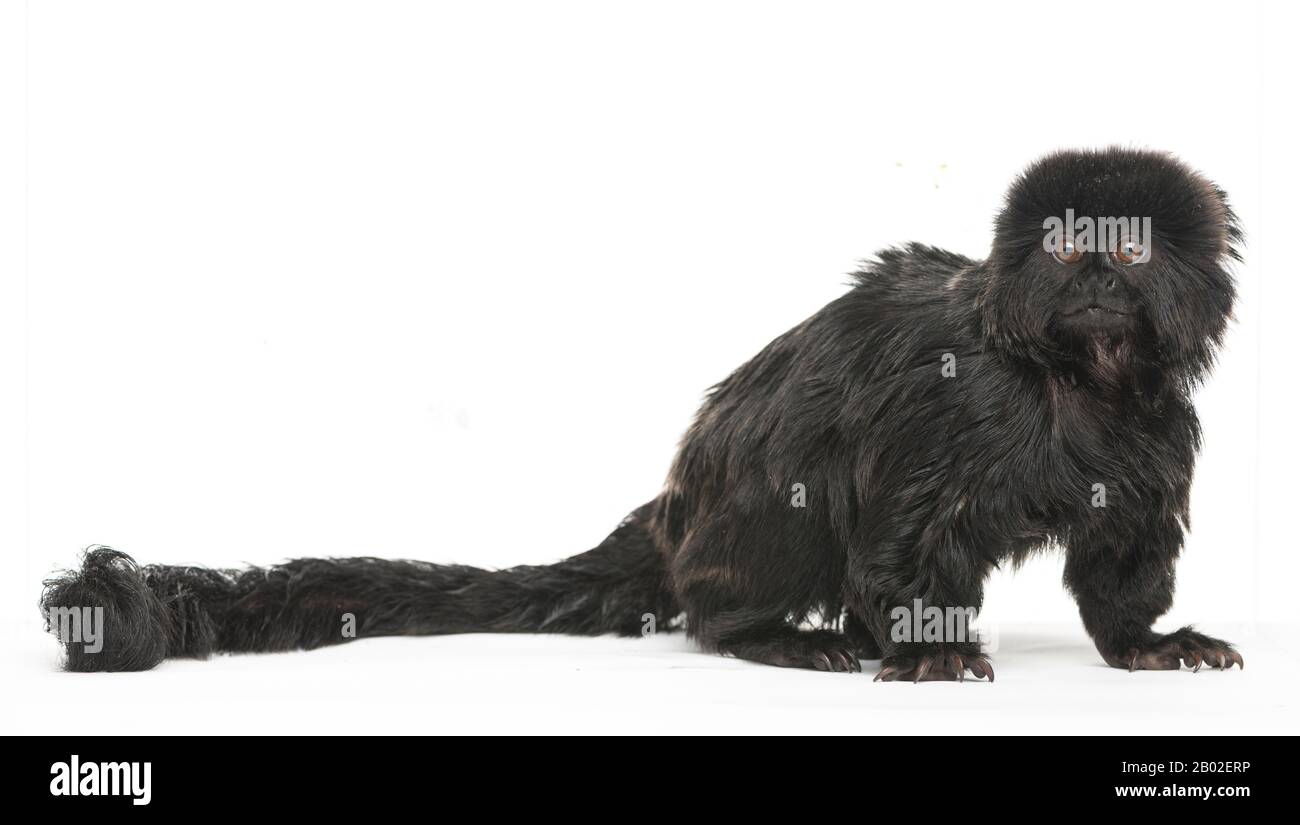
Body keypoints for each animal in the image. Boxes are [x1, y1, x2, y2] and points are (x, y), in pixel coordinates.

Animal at [42, 147, 1245, 680]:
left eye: (1131, 243)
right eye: (1066, 246)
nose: (1099, 269)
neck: (1074, 378)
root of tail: (675, 508)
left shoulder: (1155, 434)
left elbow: (1123, 564)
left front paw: (1145, 644)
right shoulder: (958, 405)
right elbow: (900, 532)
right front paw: (923, 653)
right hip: (737, 521)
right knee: (785, 516)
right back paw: (773, 635)